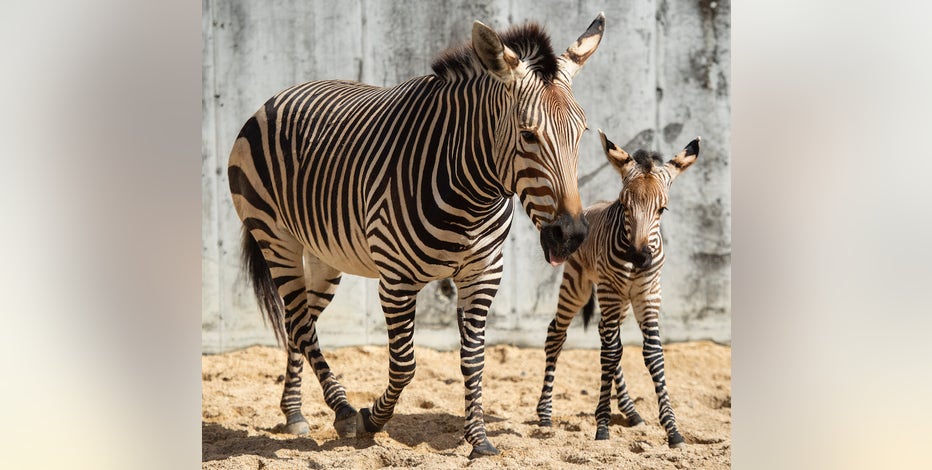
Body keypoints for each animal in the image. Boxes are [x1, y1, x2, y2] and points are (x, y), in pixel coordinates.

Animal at [228, 14, 605, 458]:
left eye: (581, 132)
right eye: (528, 135)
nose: (571, 235)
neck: (471, 194)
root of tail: (281, 94)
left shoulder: (483, 273)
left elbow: (474, 359)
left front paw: (479, 440)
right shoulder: (396, 280)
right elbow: (405, 364)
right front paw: (372, 420)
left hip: (324, 253)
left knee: (297, 321)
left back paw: (294, 413)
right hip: (275, 236)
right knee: (302, 324)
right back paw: (342, 410)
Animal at [535, 129, 700, 448]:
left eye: (662, 209)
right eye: (624, 206)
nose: (638, 257)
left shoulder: (649, 294)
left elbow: (652, 354)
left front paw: (672, 430)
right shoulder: (610, 291)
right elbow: (611, 354)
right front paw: (602, 426)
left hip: (620, 300)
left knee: (606, 336)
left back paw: (631, 411)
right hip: (579, 286)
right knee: (557, 335)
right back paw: (545, 414)